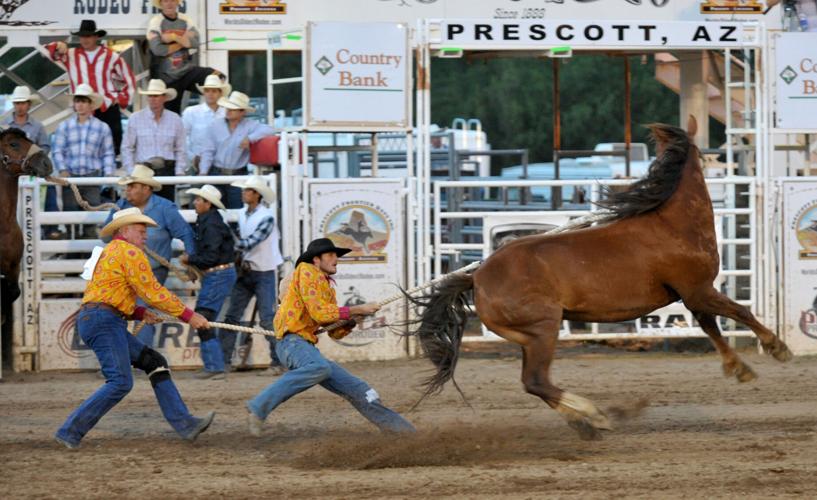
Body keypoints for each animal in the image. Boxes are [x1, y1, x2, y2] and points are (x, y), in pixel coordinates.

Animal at [407, 118, 792, 440]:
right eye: (711, 154)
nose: (729, 170)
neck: (673, 224)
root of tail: (478, 276)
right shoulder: (698, 290)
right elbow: (739, 312)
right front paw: (777, 348)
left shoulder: (692, 296)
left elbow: (712, 326)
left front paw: (739, 368)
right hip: (544, 329)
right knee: (536, 381)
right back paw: (596, 416)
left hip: (527, 337)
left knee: (536, 385)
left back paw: (586, 422)